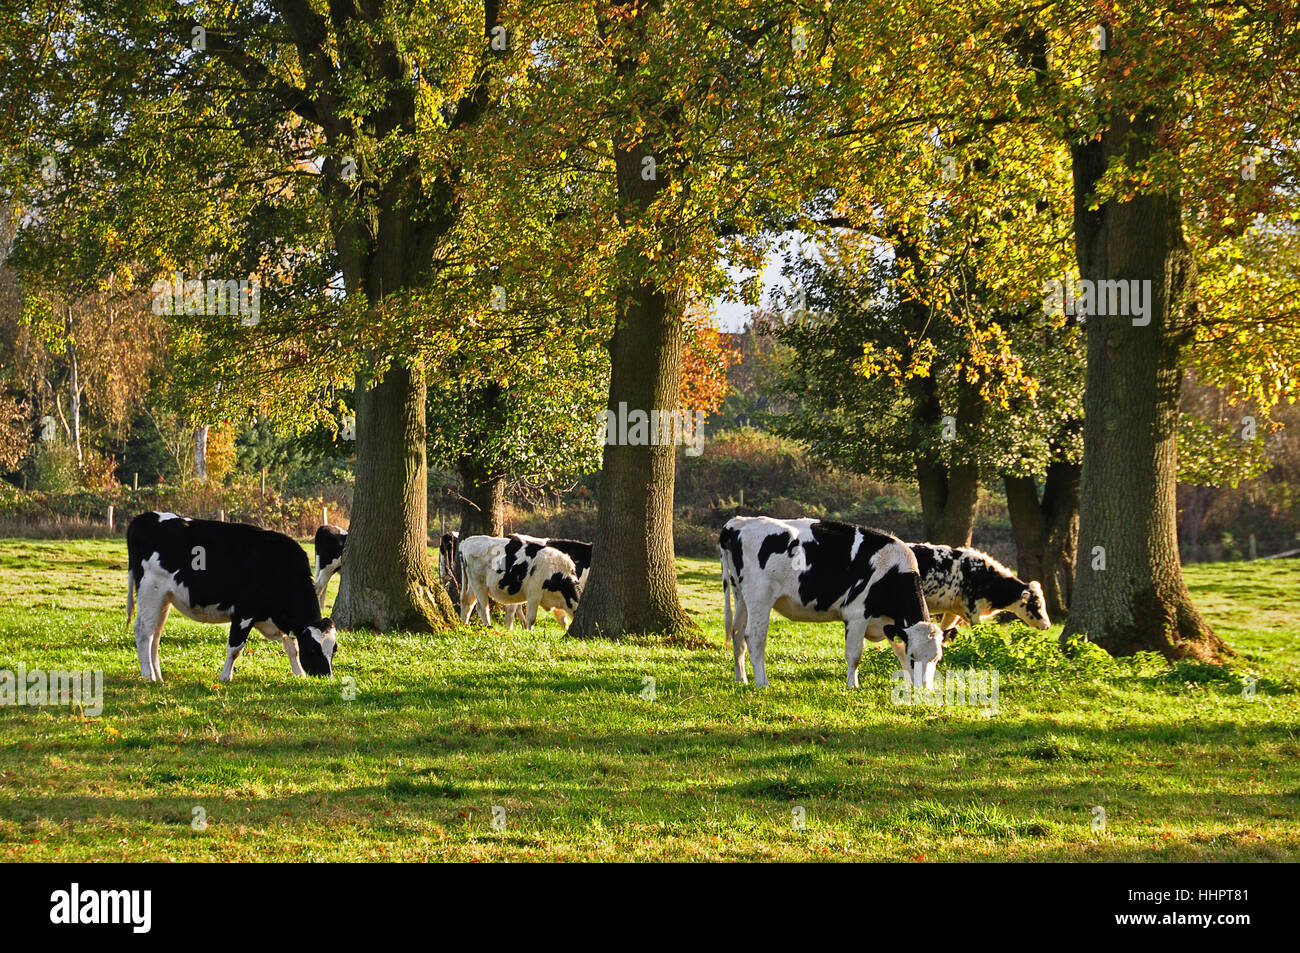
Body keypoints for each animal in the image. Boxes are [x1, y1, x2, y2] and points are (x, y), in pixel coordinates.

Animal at [127, 512, 338, 682]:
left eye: (334, 649)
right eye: (313, 649)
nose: (326, 676)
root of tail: (145, 517)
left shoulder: (281, 620)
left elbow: (292, 647)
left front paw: (299, 674)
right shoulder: (244, 613)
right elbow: (236, 648)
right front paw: (225, 677)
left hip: (164, 599)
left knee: (156, 634)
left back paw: (158, 675)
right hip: (150, 591)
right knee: (144, 631)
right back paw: (149, 676)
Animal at [457, 534, 585, 630]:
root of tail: (467, 541)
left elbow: (562, 620)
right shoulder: (534, 594)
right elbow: (531, 619)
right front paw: (529, 633)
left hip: (473, 584)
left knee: (467, 602)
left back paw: (464, 625)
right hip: (479, 584)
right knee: (482, 607)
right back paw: (488, 627)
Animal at [718, 516, 944, 690]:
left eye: (937, 659)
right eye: (914, 656)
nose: (925, 688)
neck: (893, 572)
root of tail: (739, 522)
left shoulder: (891, 624)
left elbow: (898, 652)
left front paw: (907, 684)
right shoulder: (857, 615)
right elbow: (855, 655)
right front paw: (852, 686)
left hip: (741, 596)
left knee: (737, 634)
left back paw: (741, 679)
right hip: (760, 598)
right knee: (754, 637)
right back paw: (762, 683)